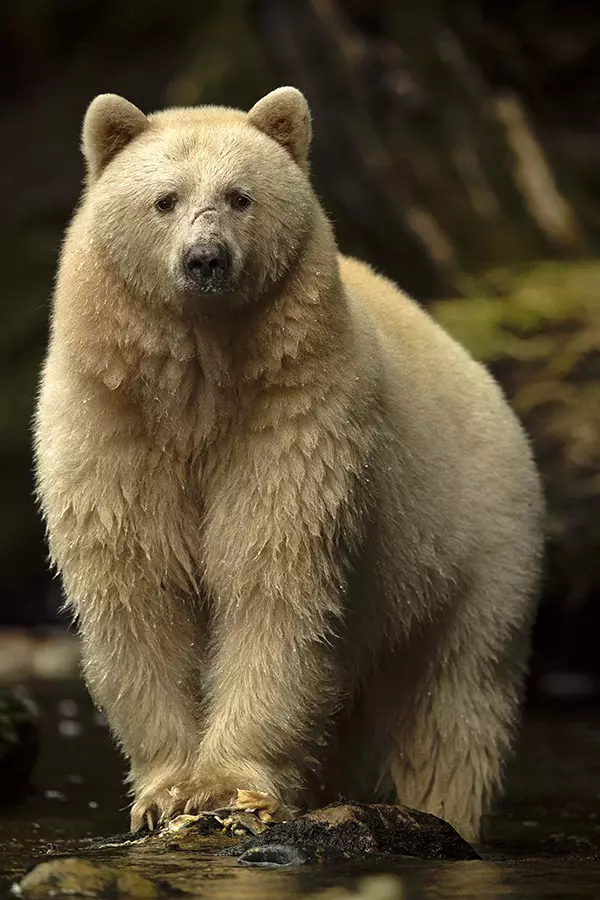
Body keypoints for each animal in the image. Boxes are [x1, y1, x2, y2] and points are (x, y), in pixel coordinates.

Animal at [36, 88, 544, 840]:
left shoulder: (295, 420)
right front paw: (165, 791)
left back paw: (439, 807)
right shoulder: (113, 426)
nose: (206, 259)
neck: (201, 383)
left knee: (453, 704)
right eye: (164, 199)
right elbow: (138, 589)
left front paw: (225, 787)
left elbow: (273, 577)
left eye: (240, 196)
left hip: (476, 550)